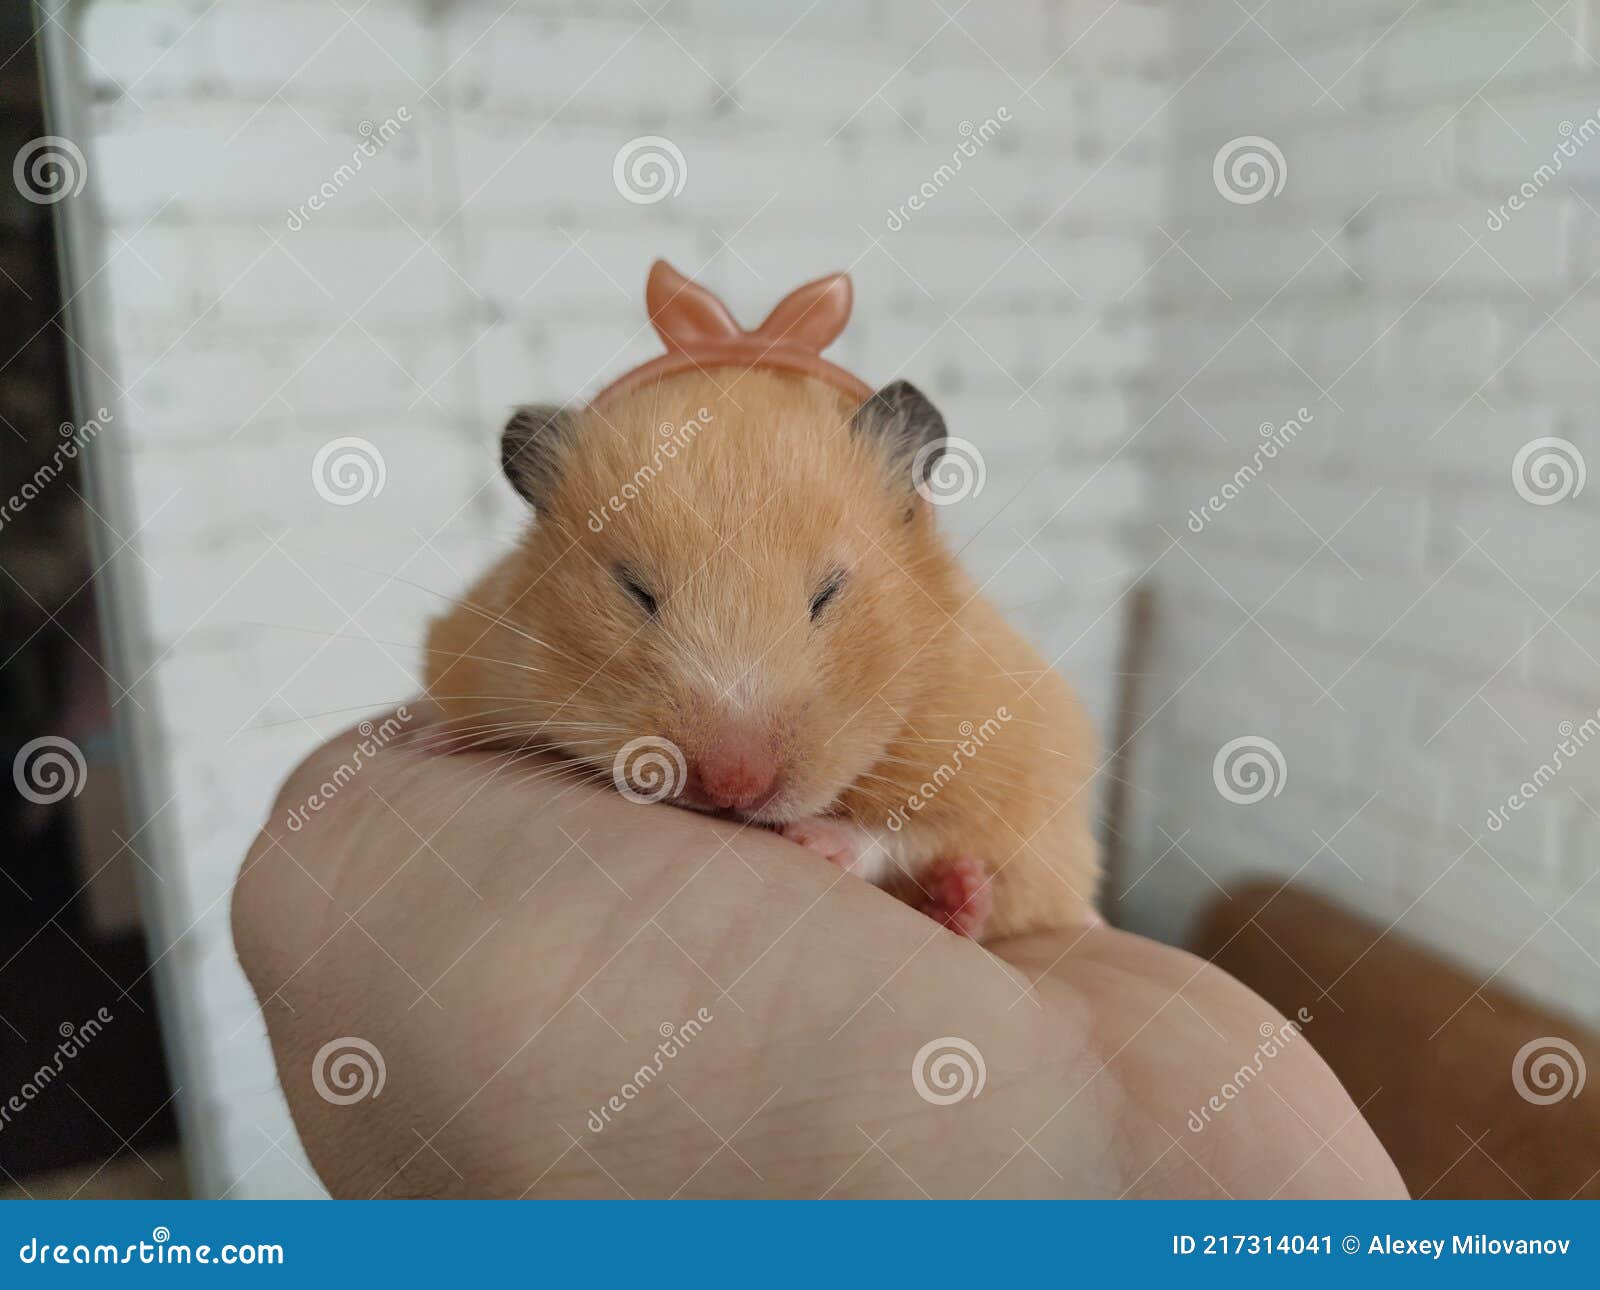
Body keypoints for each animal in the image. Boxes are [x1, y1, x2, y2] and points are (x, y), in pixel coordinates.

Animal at [423, 367, 1100, 940]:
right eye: (635, 592)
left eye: (828, 594)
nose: (734, 786)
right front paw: (434, 737)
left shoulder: (1016, 751)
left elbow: (921, 829)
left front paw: (819, 841)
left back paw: (958, 899)